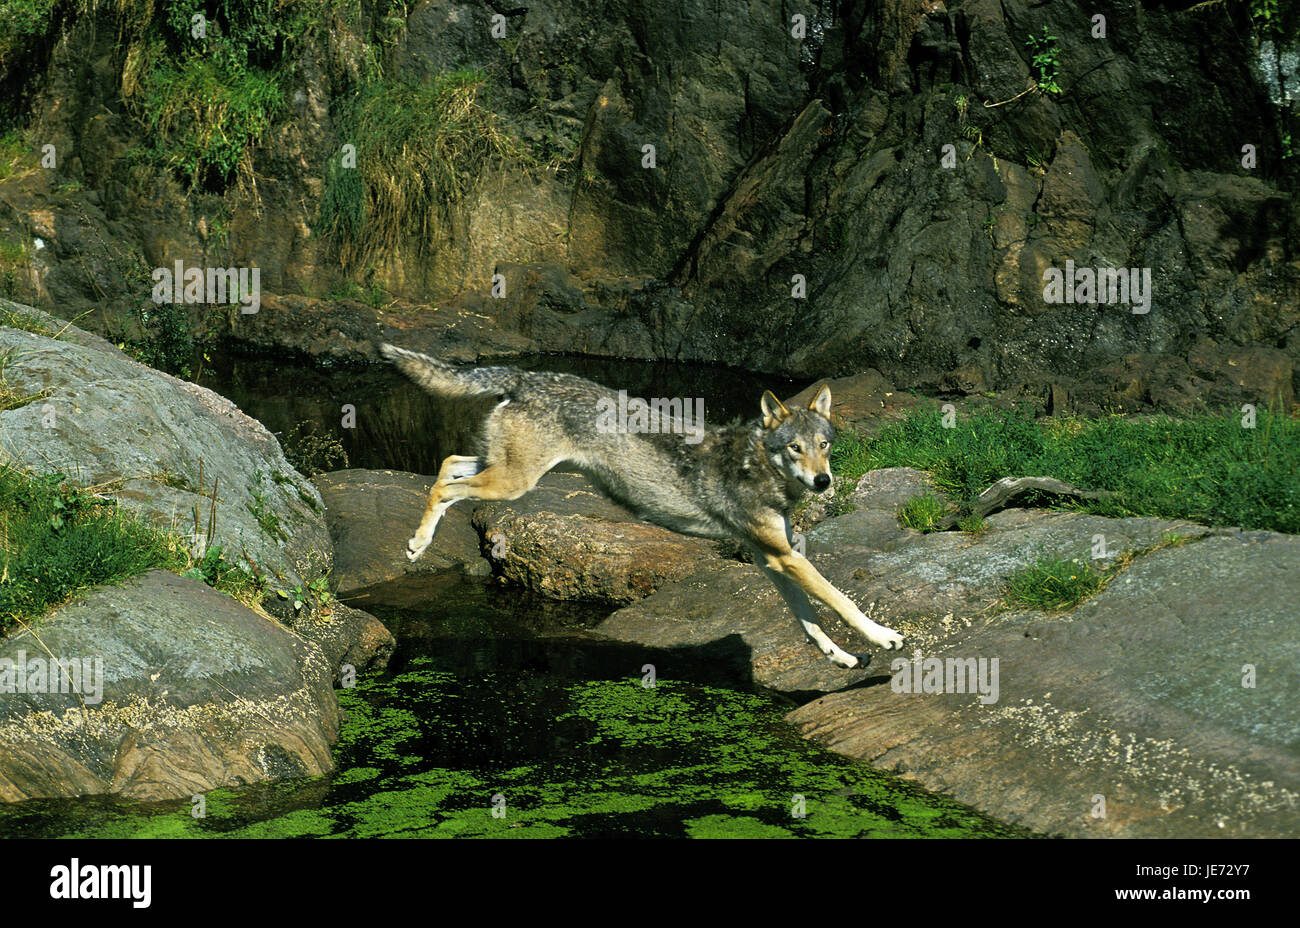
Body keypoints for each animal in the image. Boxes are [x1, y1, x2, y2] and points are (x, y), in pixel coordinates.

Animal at [379, 344, 906, 668]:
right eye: (794, 449)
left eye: (824, 445)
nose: (823, 481)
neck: (758, 464)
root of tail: (528, 375)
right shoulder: (784, 558)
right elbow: (841, 600)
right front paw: (883, 636)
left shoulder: (772, 559)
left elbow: (810, 621)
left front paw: (841, 657)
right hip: (512, 484)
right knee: (443, 489)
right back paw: (417, 546)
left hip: (504, 472)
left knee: (447, 464)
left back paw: (418, 541)